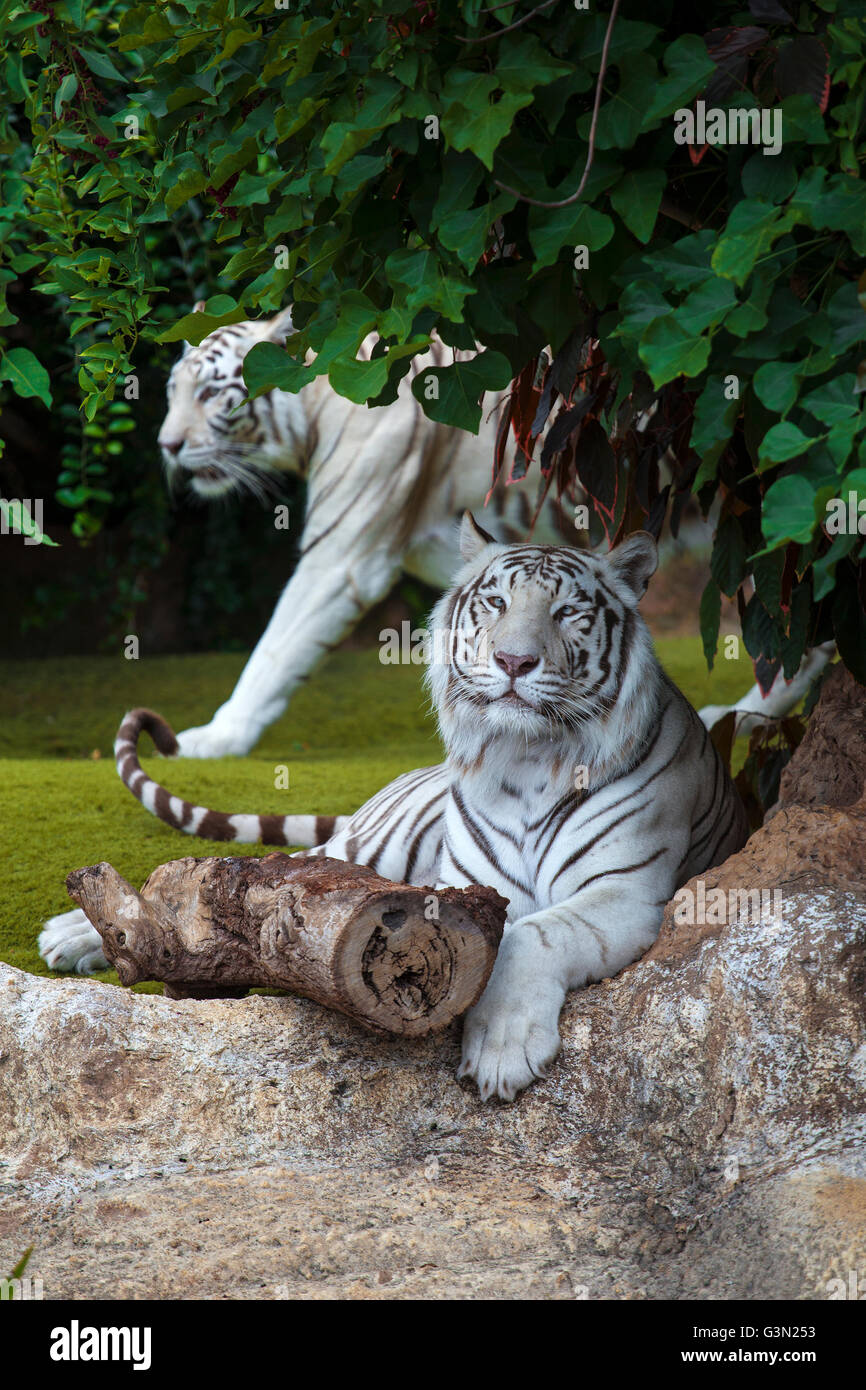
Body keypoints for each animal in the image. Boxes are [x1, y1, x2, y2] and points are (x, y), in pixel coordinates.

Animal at [39, 513, 748, 1101]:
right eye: (496, 602)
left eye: (569, 611)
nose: (514, 660)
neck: (528, 759)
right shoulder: (466, 883)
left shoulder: (629, 892)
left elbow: (535, 933)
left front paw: (500, 1053)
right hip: (359, 849)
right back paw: (74, 933)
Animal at [159, 305, 581, 759]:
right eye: (173, 392)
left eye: (209, 394)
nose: (167, 445)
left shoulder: (342, 561)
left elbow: (275, 651)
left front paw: (214, 738)